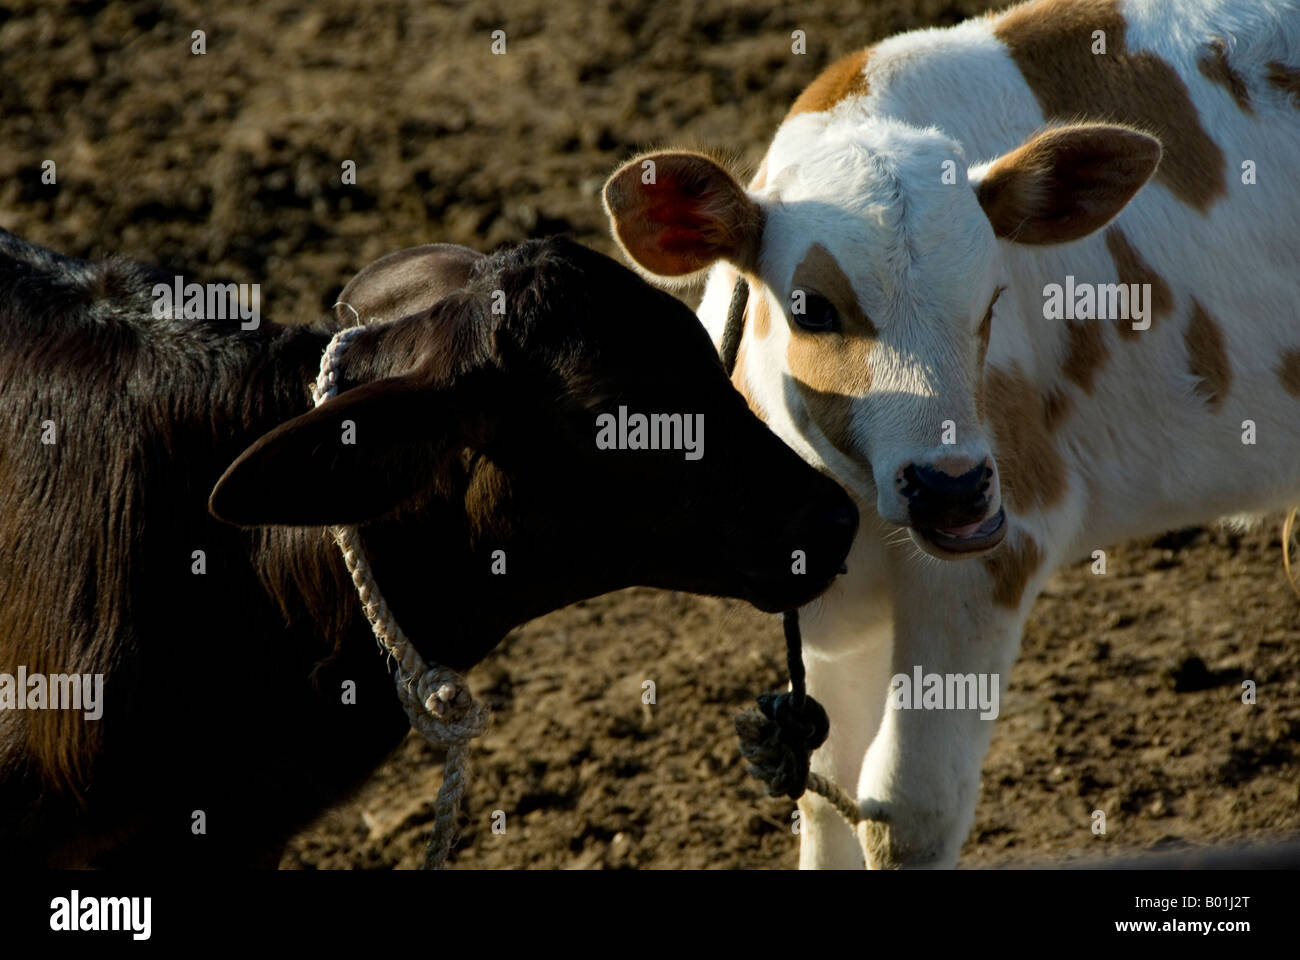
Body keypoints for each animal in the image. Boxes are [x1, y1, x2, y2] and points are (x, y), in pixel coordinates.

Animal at [603, 0, 1300, 867]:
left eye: (993, 300)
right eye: (811, 308)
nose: (952, 488)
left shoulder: (1000, 543)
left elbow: (905, 810)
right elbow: (824, 796)